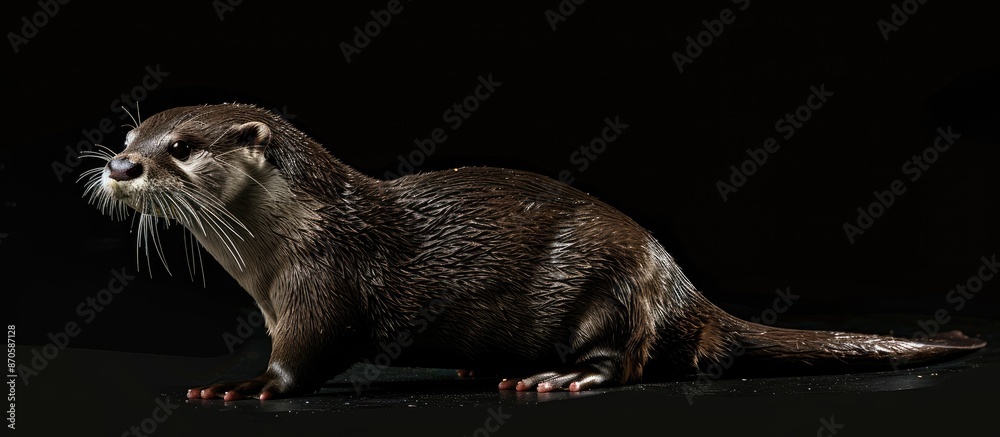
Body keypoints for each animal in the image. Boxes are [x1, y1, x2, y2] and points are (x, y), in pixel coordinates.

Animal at [81, 103, 985, 401]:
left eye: (183, 148)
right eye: (130, 135)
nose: (121, 166)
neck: (278, 255)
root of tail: (682, 288)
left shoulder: (324, 283)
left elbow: (305, 356)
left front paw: (241, 385)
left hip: (614, 289)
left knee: (627, 359)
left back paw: (557, 378)